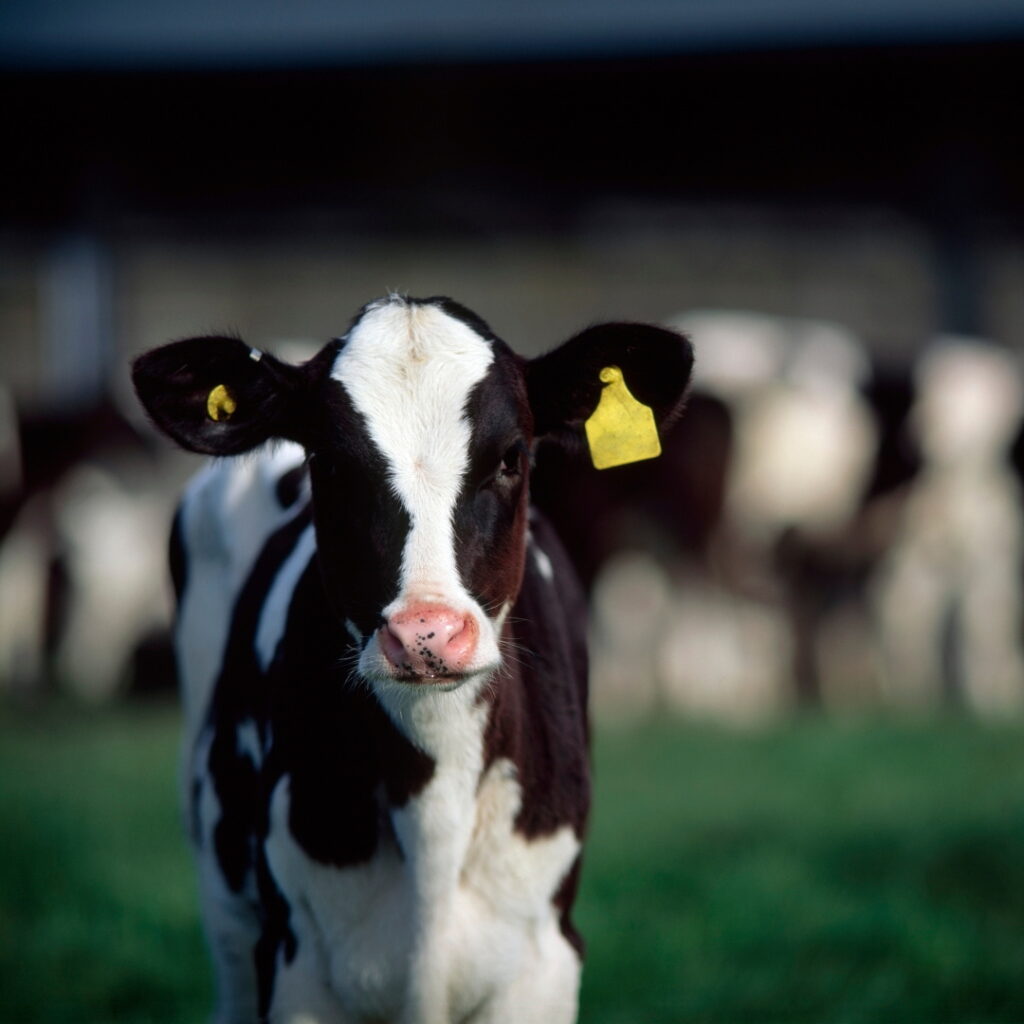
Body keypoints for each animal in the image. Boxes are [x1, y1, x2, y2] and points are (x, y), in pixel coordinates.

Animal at [131, 294, 694, 1024]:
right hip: (226, 910)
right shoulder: (294, 962)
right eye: (327, 463)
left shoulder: (542, 964)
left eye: (511, 457)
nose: (427, 633)